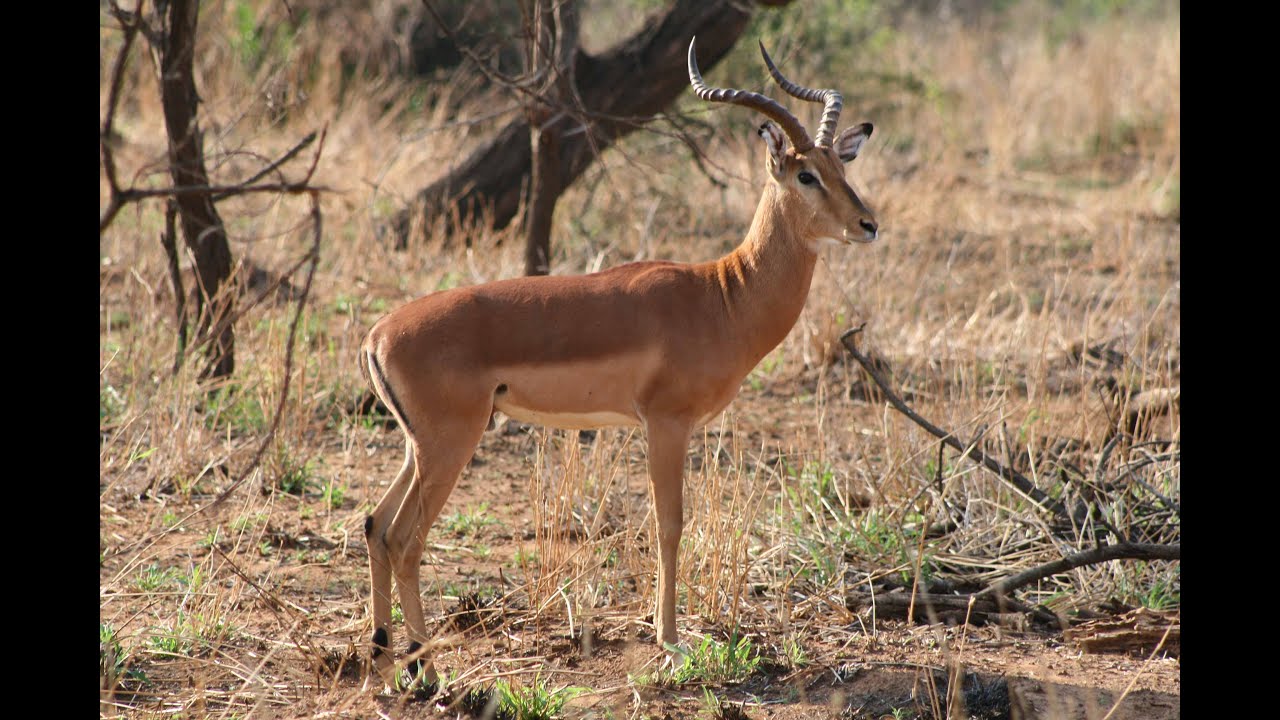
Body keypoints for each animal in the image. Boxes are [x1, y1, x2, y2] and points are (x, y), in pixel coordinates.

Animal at [359, 37, 879, 689]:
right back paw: (427, 671)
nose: (868, 224)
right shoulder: (666, 424)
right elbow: (669, 525)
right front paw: (672, 643)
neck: (723, 295)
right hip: (450, 444)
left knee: (375, 527)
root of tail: (377, 334)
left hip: (418, 447)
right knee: (404, 539)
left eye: (842, 169)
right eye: (806, 174)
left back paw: (383, 663)